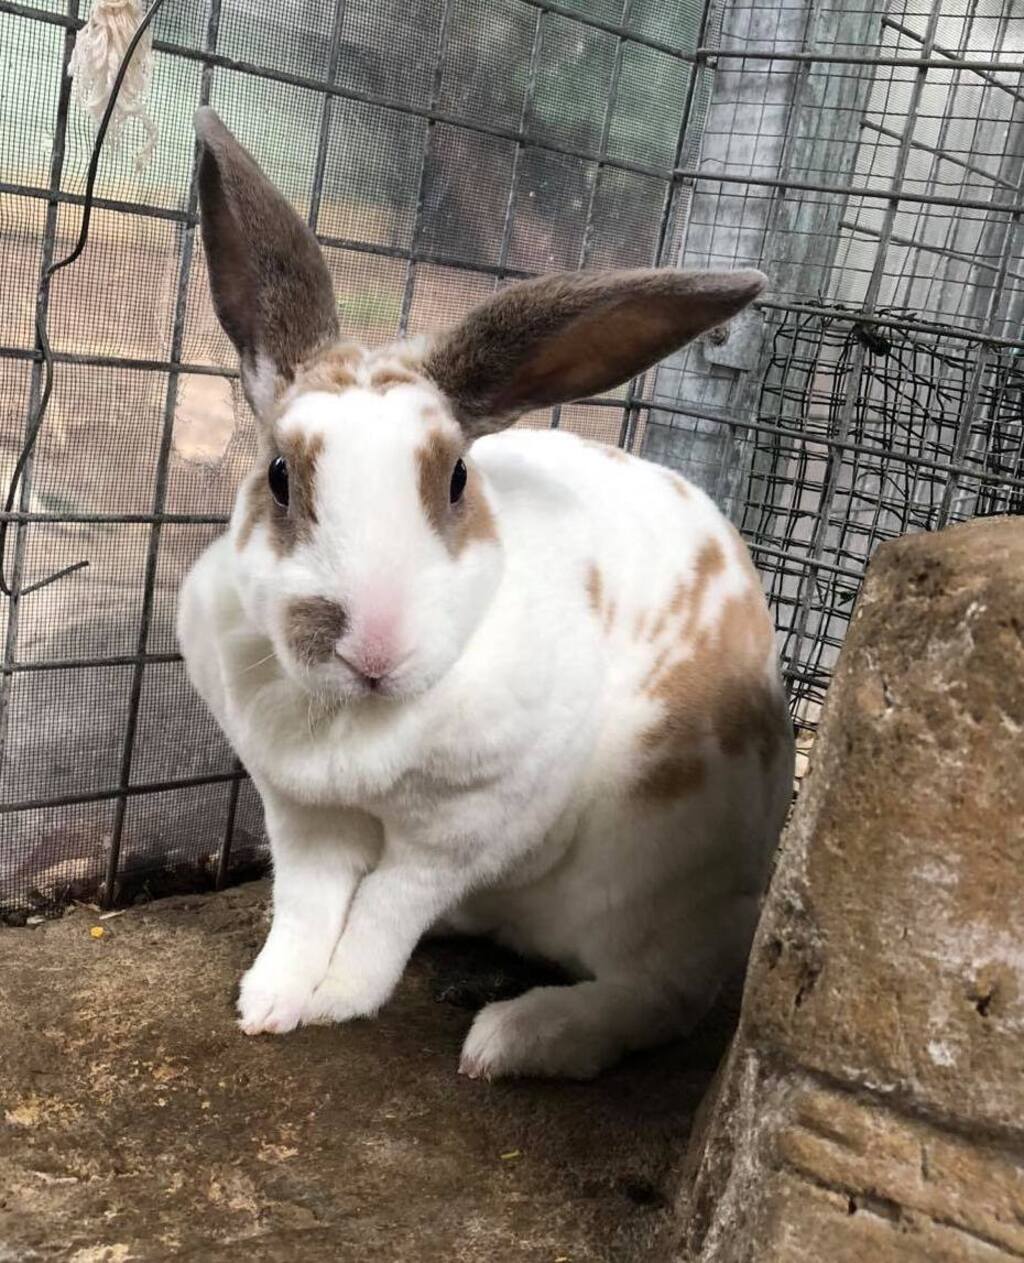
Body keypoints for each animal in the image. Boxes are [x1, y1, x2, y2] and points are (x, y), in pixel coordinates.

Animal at [176, 107, 795, 1080]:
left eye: (457, 479)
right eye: (279, 476)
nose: (372, 646)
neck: (355, 724)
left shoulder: (466, 825)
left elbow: (386, 907)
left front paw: (342, 998)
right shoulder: (301, 812)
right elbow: (309, 905)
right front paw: (270, 1001)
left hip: (645, 875)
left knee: (664, 992)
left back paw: (515, 1037)